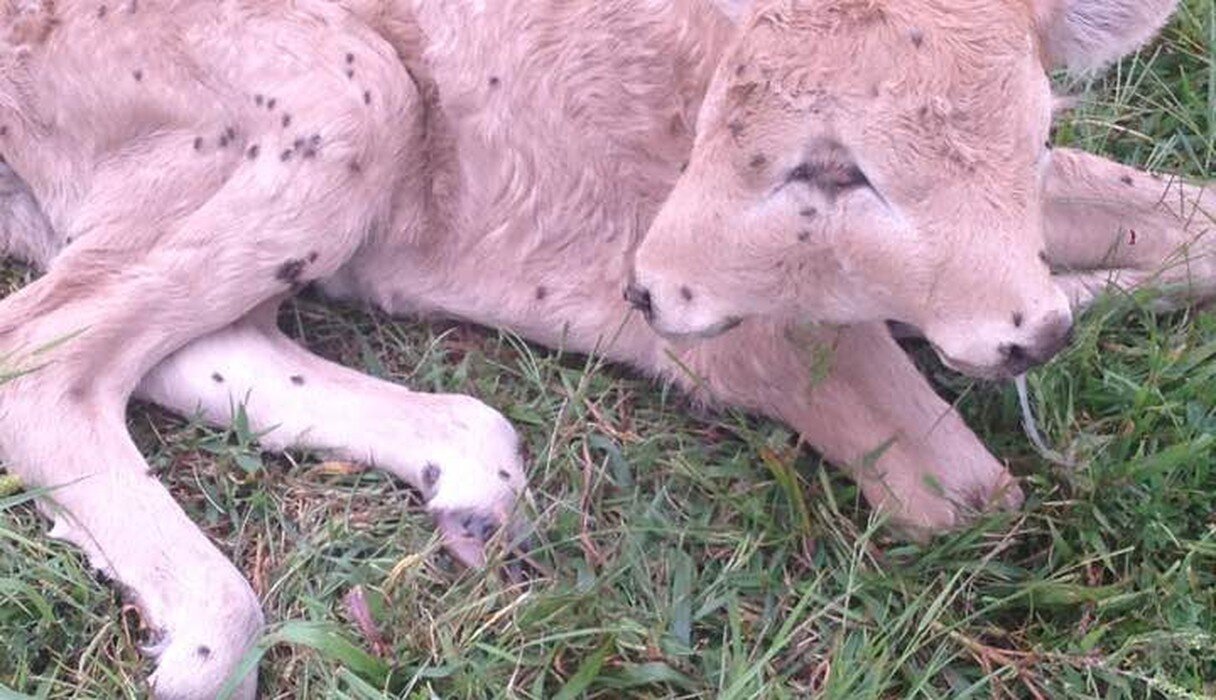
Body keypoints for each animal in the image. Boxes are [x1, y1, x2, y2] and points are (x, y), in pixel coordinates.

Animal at [0, 0, 1209, 696]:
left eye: (1036, 127)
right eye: (826, 168)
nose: (1030, 335)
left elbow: (1188, 217)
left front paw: (1083, 297)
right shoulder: (741, 338)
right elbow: (971, 492)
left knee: (172, 342)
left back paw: (470, 479)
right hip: (345, 89)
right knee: (45, 354)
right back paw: (210, 638)